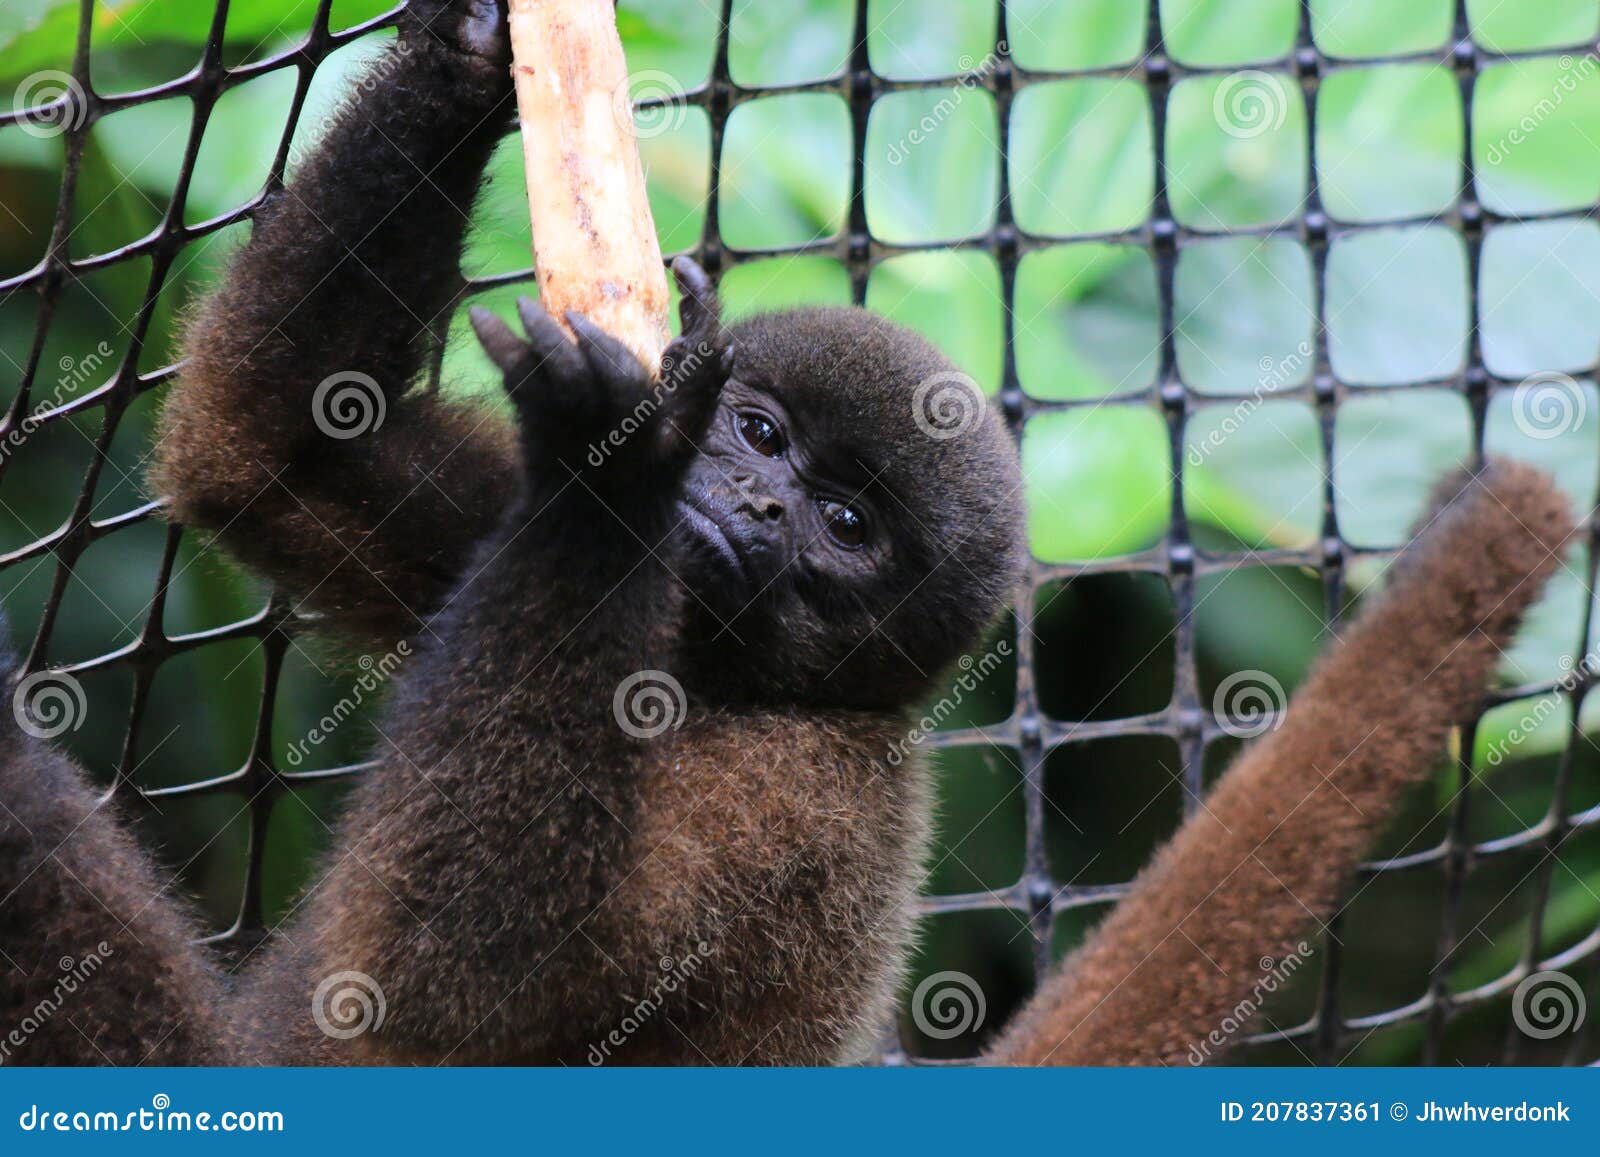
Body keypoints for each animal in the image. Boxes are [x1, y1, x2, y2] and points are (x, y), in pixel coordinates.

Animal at [0, 0, 1576, 1066]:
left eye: (847, 522)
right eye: (761, 437)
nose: (750, 503)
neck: (728, 675)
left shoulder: (807, 797)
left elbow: (458, 982)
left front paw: (612, 467)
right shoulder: (488, 522)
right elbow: (273, 450)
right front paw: (475, 53)